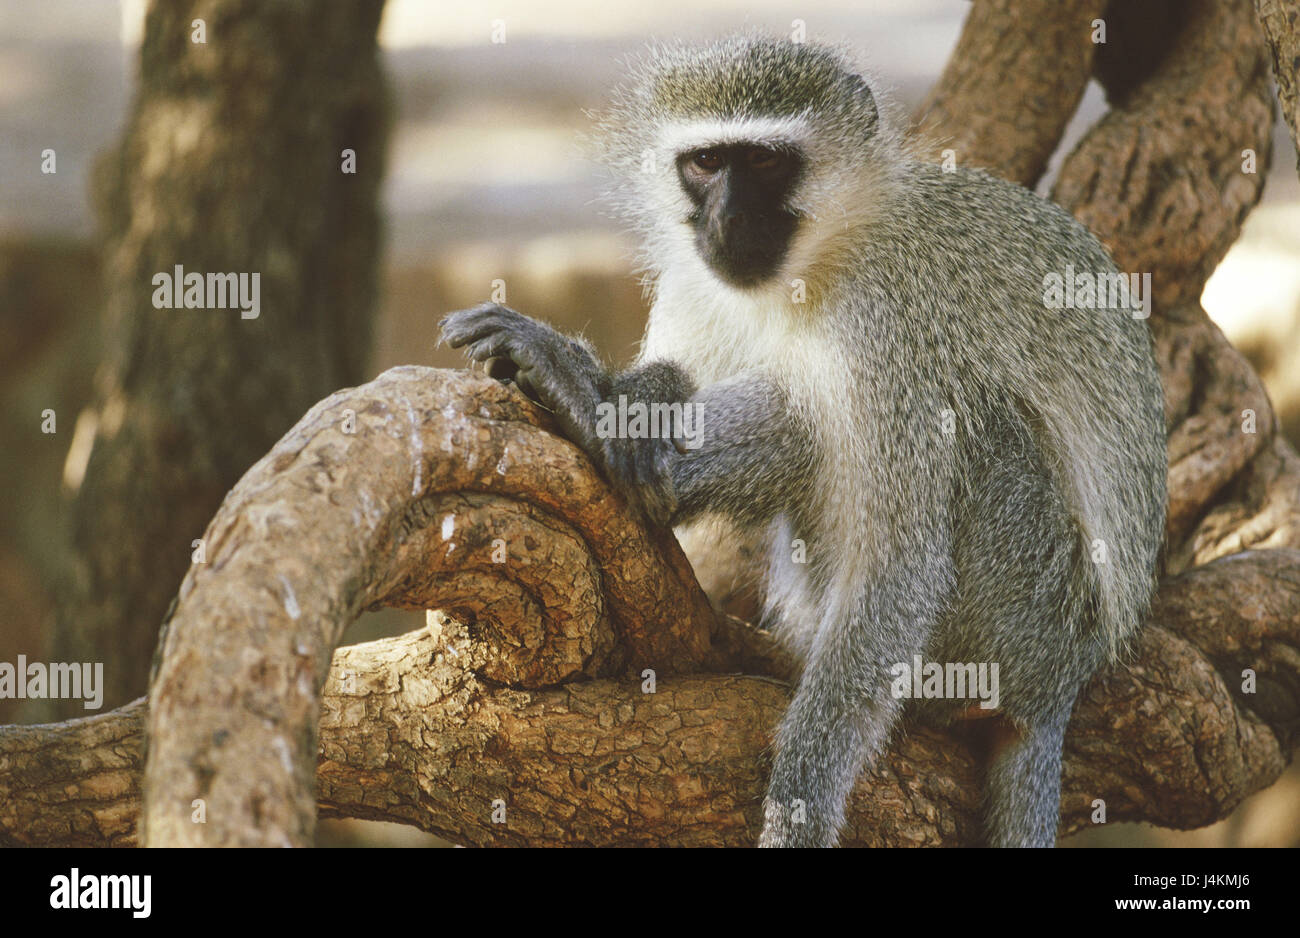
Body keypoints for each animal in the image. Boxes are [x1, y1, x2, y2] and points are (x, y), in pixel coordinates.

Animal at [439, 34, 1167, 847]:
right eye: (705, 163)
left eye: (763, 164)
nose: (726, 219)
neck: (815, 263)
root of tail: (1063, 684)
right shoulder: (695, 275)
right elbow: (691, 371)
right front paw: (637, 395)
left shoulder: (884, 319)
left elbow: (898, 569)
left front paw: (799, 807)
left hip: (1025, 611)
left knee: (954, 423)